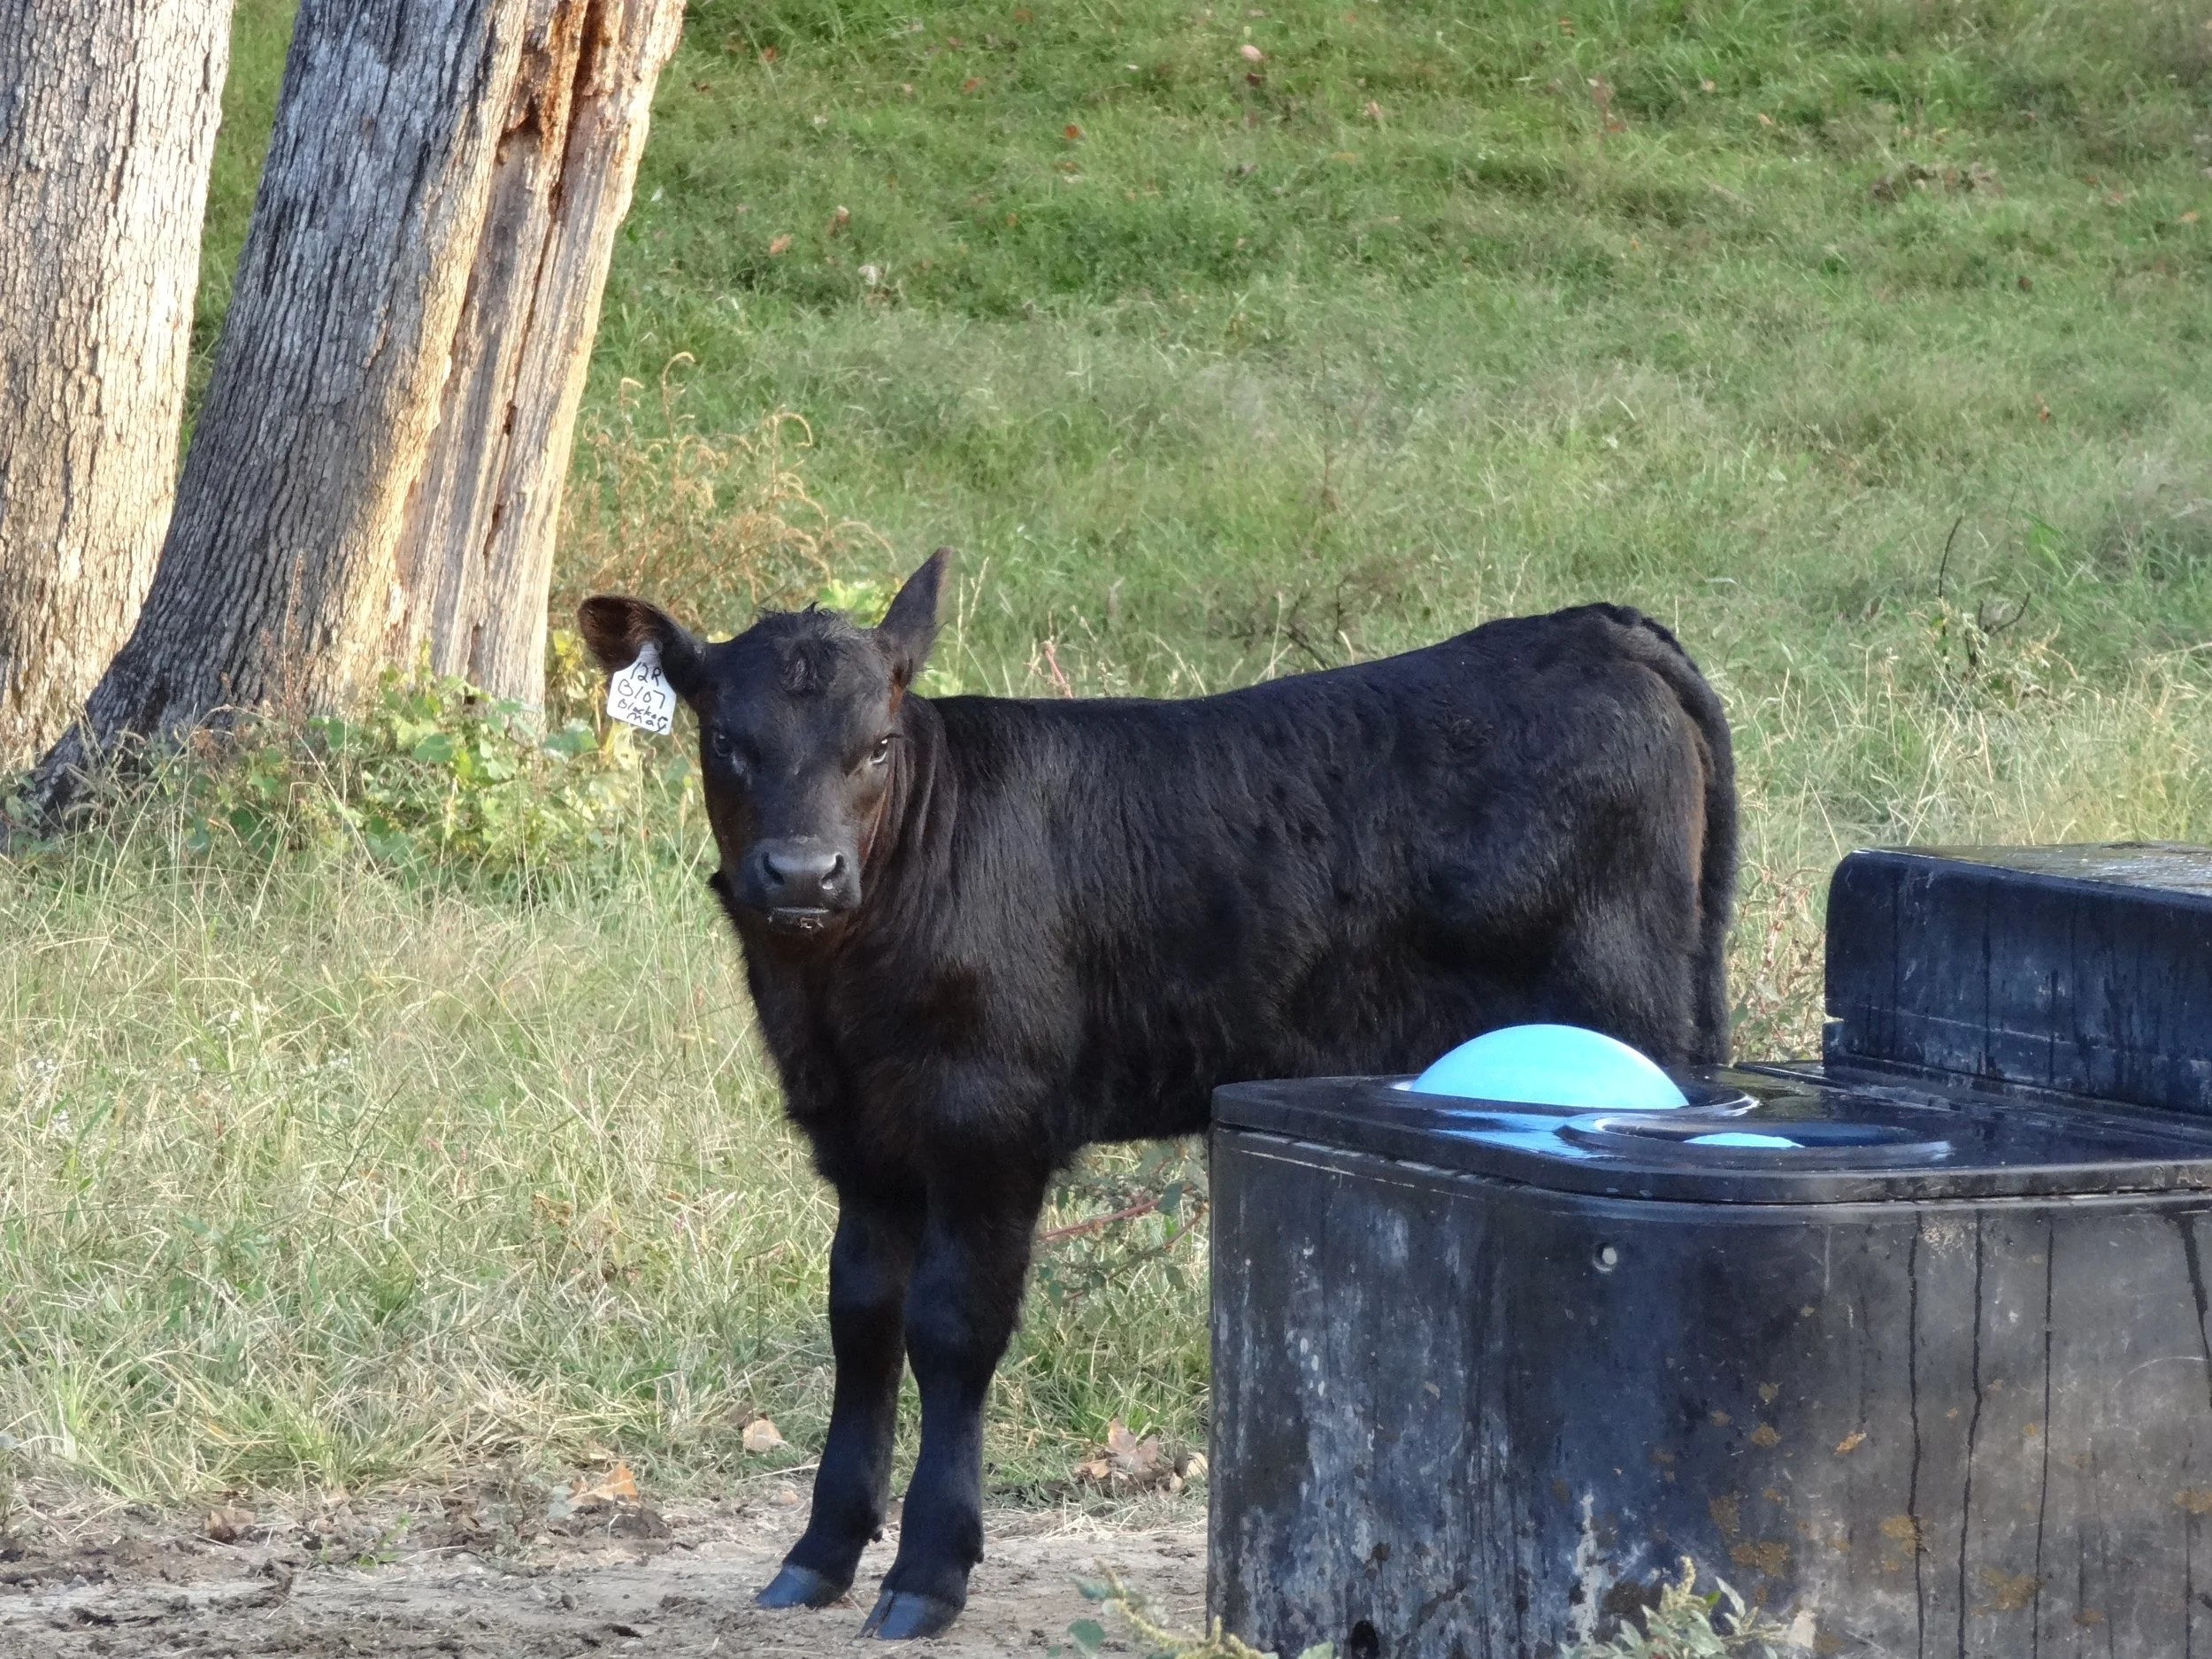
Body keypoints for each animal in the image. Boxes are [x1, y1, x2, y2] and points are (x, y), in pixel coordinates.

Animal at [578, 549, 1737, 1640]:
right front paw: (818, 1555)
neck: (838, 987)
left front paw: (927, 1574)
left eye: (877, 745)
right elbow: (860, 1320)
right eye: (727, 741)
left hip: (1626, 1011)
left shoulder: (989, 1128)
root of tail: (1590, 629)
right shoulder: (857, 1139)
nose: (803, 873)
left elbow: (951, 1331)